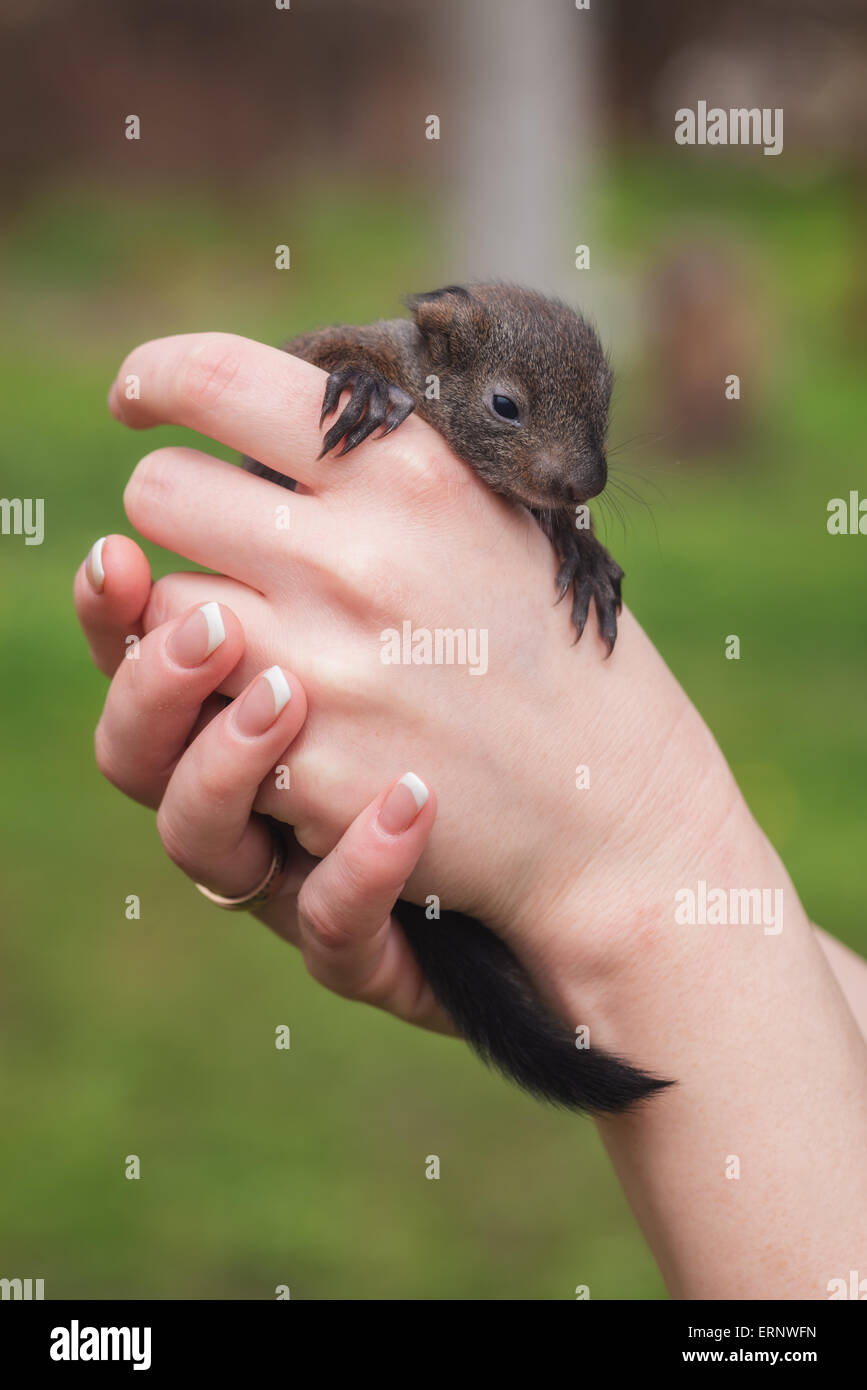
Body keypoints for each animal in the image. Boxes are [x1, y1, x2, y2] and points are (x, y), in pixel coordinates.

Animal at [245, 284, 671, 1114]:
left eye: (603, 406)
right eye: (505, 405)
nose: (581, 486)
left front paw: (583, 549)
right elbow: (320, 365)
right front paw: (365, 387)